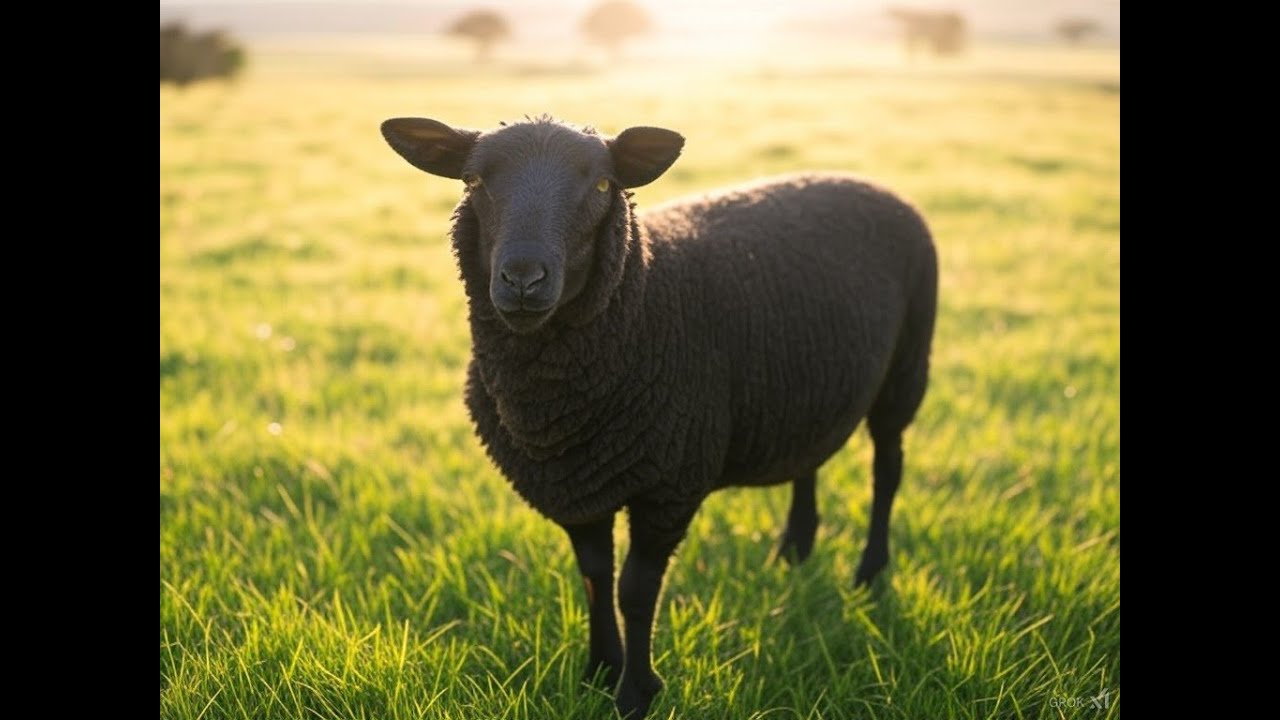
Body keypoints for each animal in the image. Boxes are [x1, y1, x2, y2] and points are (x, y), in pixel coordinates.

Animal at [380, 115, 938, 718]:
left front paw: (634, 692)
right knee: (808, 459)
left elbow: (635, 590)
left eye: (603, 185)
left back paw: (870, 573)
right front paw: (600, 669)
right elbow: (595, 576)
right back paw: (795, 549)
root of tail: (876, 186)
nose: (523, 278)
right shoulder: (578, 484)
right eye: (475, 181)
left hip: (906, 369)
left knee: (887, 471)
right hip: (808, 386)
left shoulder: (668, 487)